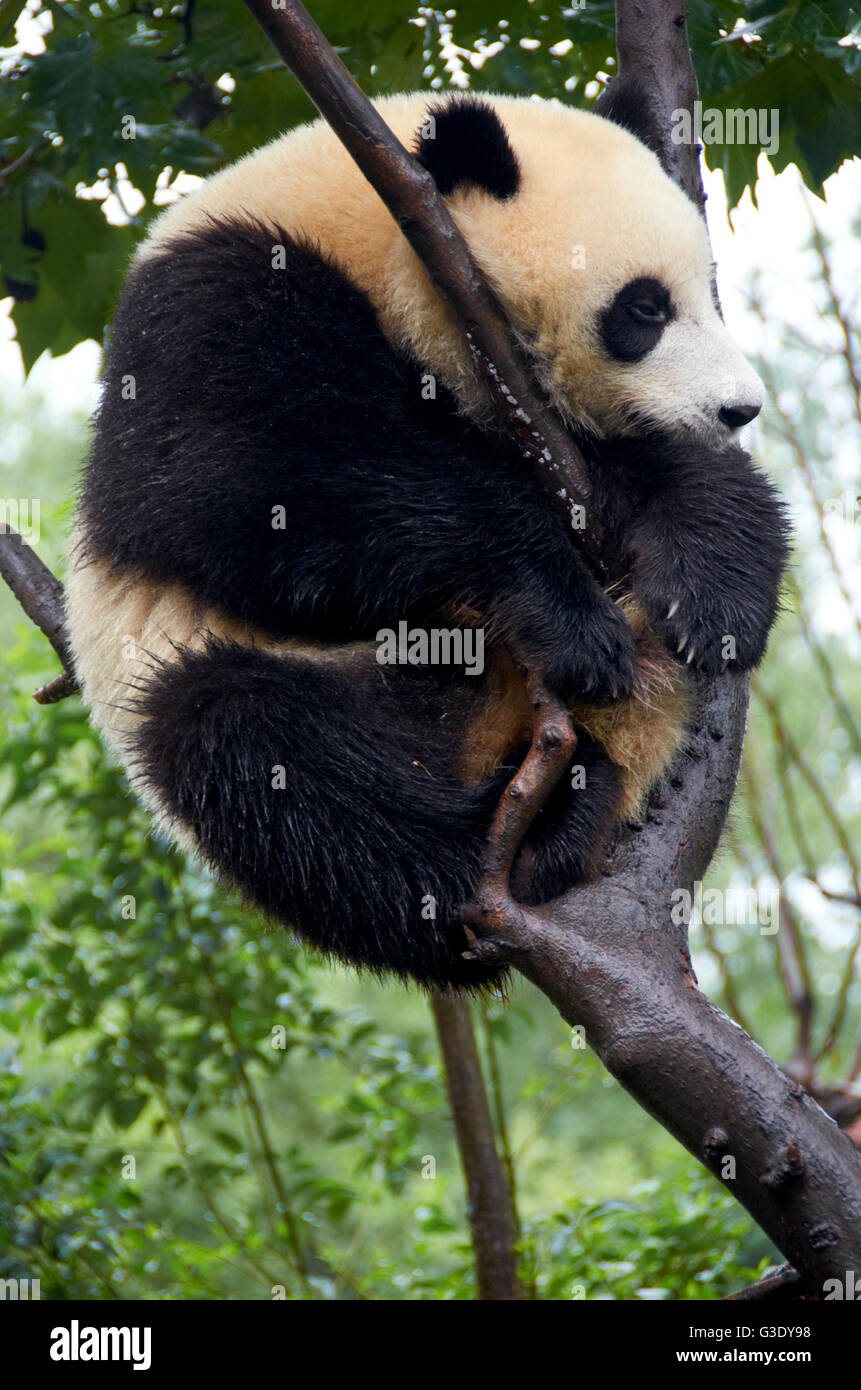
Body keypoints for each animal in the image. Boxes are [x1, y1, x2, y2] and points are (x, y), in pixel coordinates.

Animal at [65, 90, 788, 990]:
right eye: (645, 308)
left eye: (708, 296)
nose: (738, 408)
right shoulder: (215, 297)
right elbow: (234, 489)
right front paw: (574, 624)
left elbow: (662, 475)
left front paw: (715, 598)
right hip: (237, 678)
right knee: (263, 766)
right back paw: (511, 847)